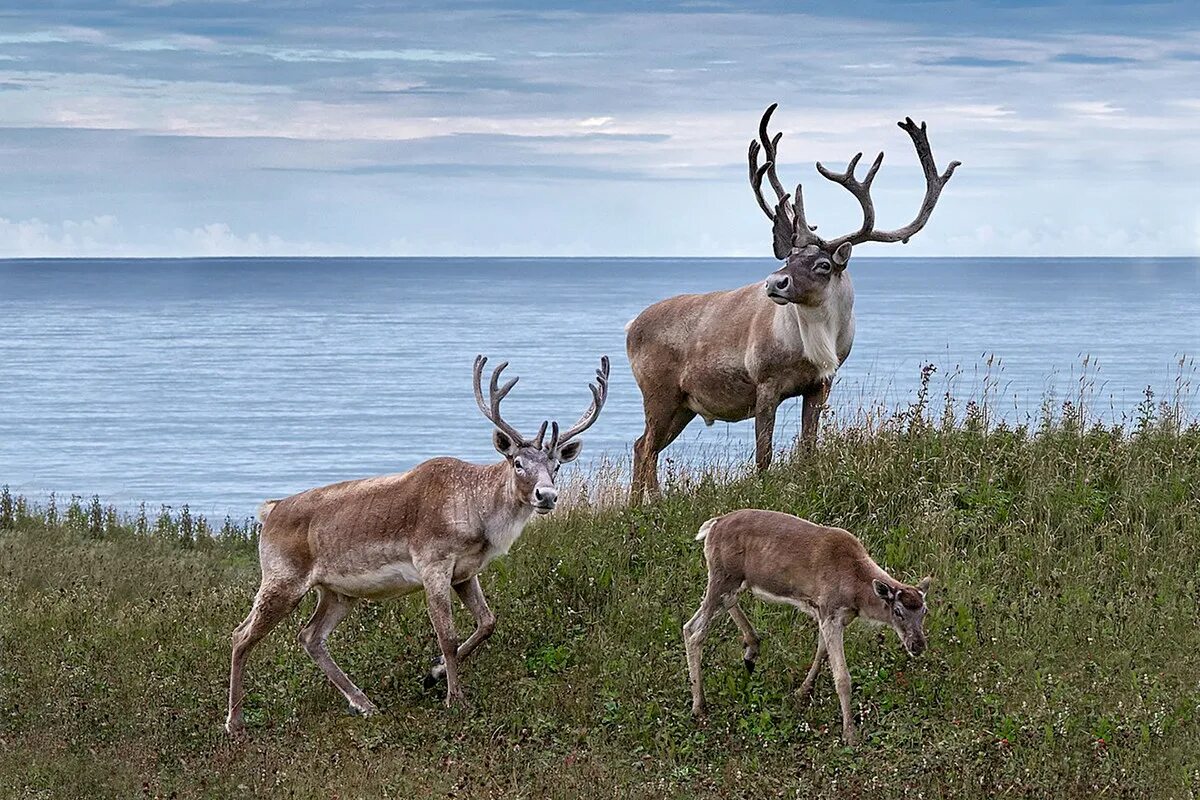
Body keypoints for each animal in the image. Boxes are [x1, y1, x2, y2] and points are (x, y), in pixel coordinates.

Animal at [686, 513, 926, 743]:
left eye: (925, 611)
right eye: (898, 612)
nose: (918, 645)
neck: (856, 592)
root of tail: (713, 526)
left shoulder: (826, 614)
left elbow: (821, 652)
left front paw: (802, 692)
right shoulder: (830, 611)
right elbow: (842, 677)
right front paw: (849, 734)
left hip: (735, 581)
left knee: (713, 612)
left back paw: (751, 648)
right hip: (723, 576)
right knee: (693, 630)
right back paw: (699, 706)